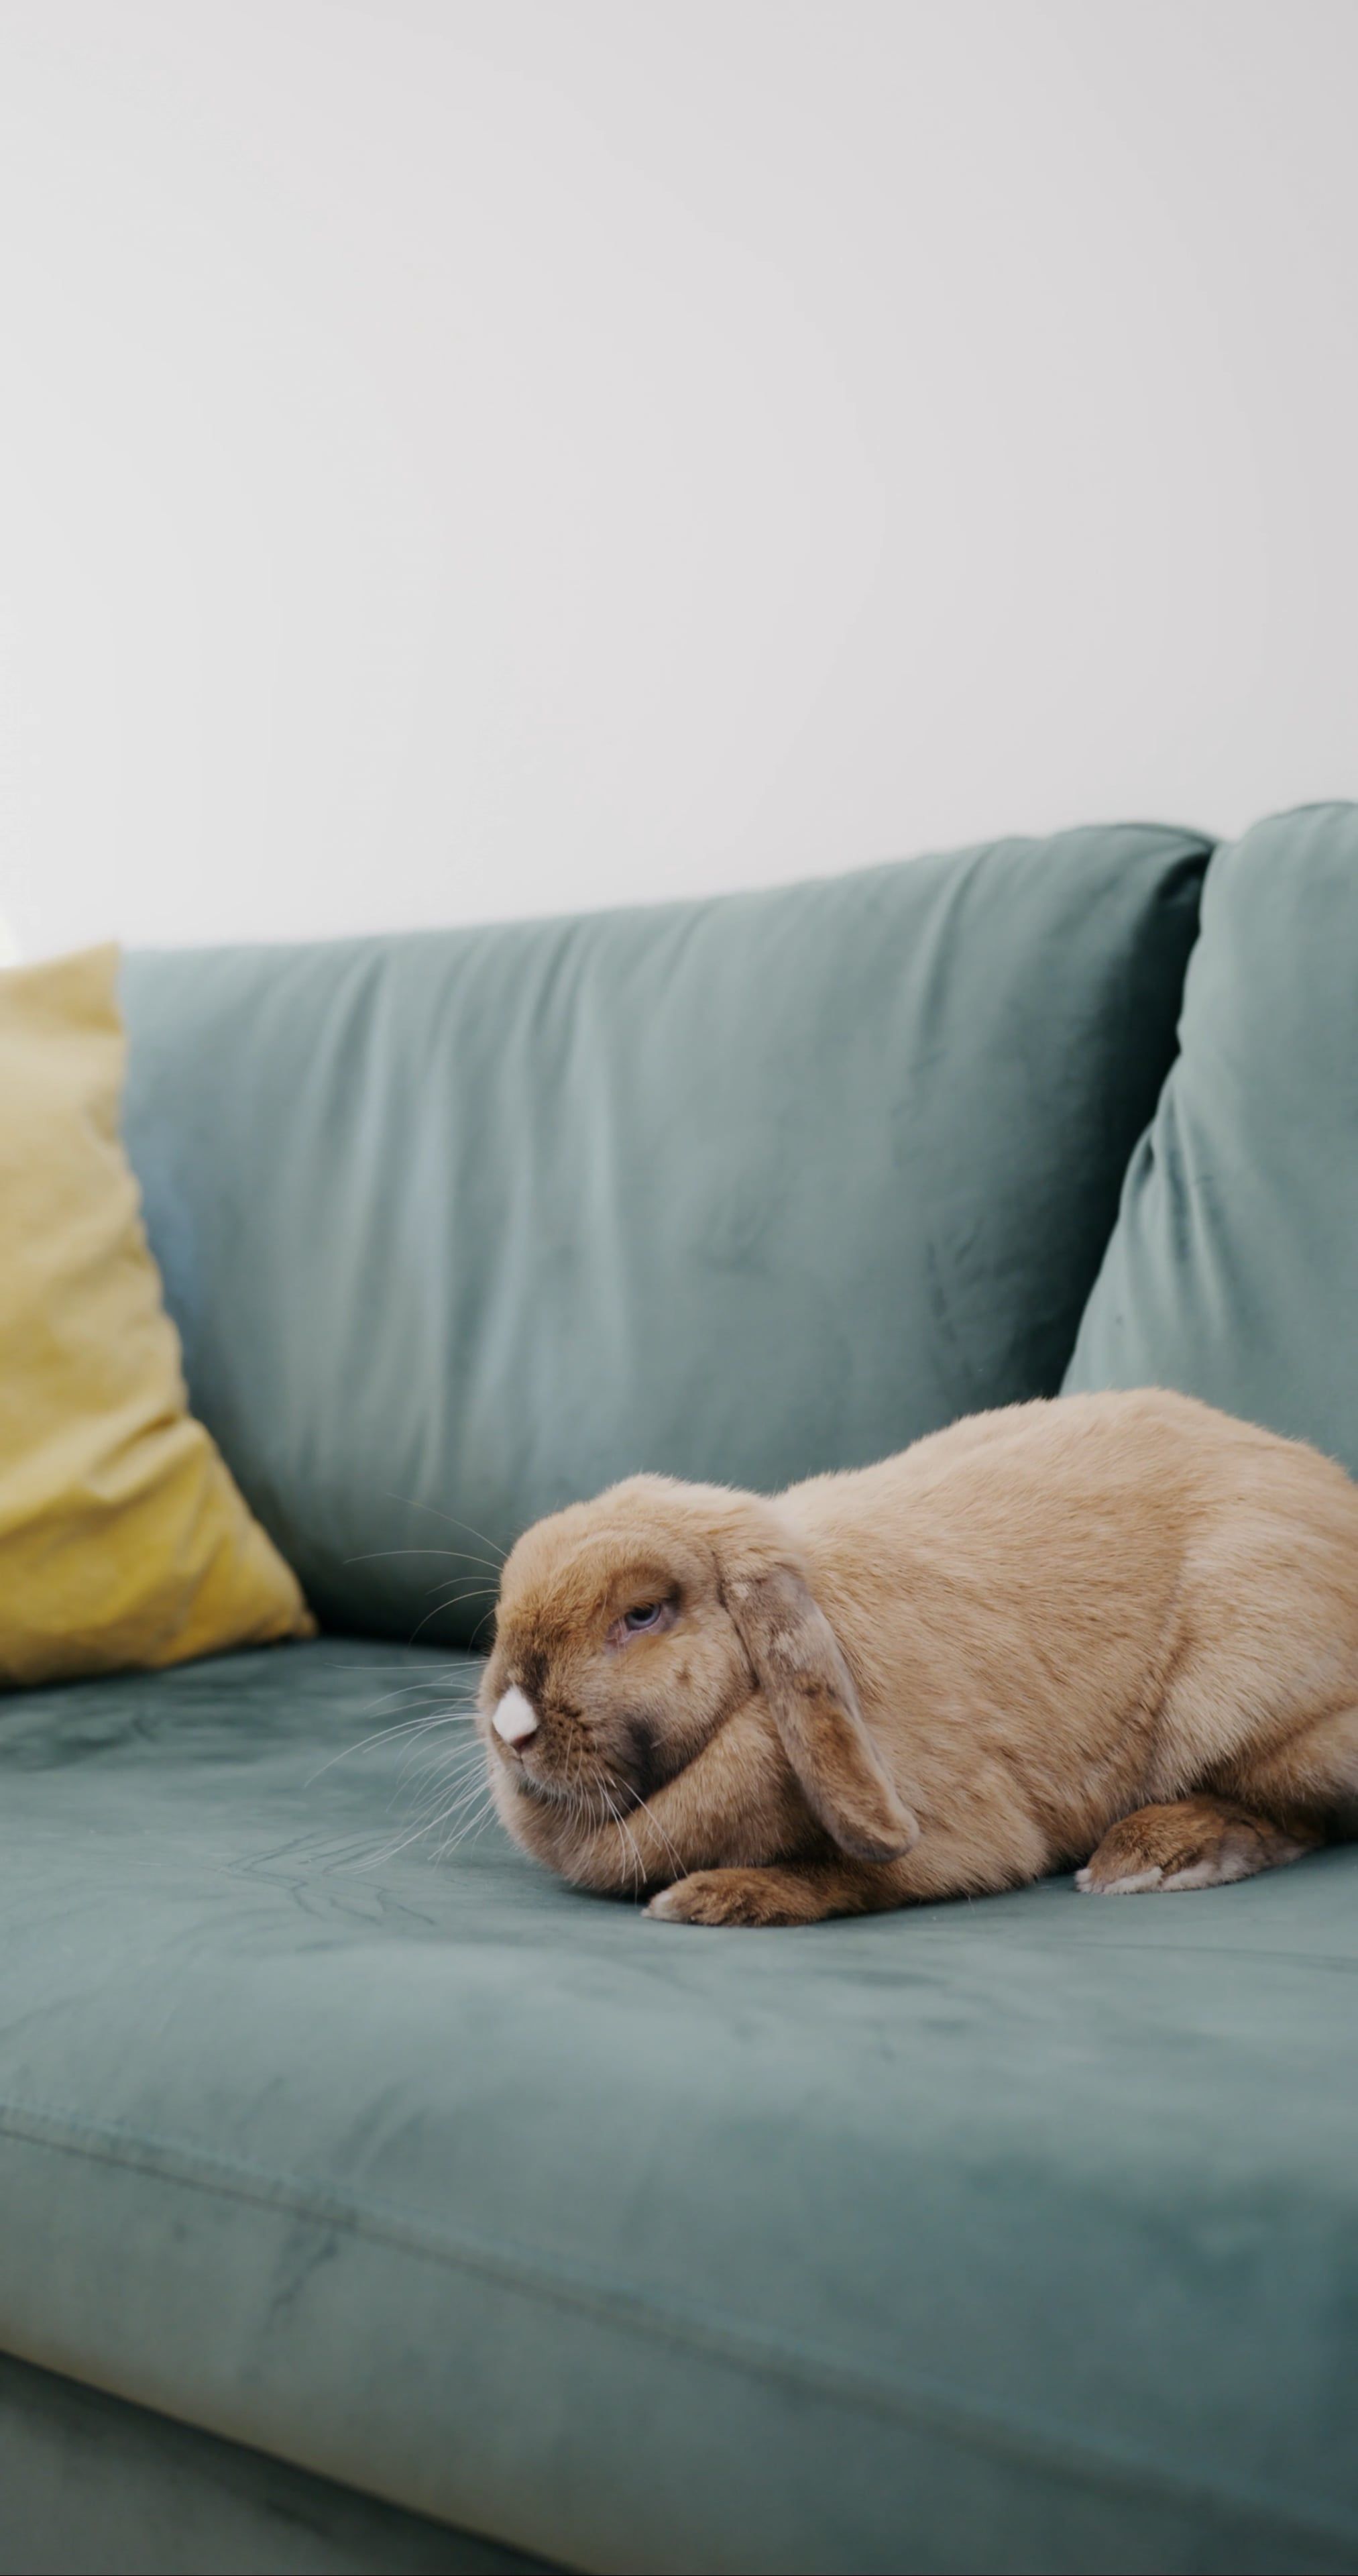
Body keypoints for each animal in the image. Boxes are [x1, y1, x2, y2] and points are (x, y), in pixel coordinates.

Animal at [473, 1388, 1358, 1925]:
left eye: (641, 1614)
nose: (510, 1725)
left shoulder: (957, 1836)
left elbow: (849, 1875)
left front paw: (711, 1899)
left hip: (1258, 1700)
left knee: (1296, 1809)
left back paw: (1150, 1860)